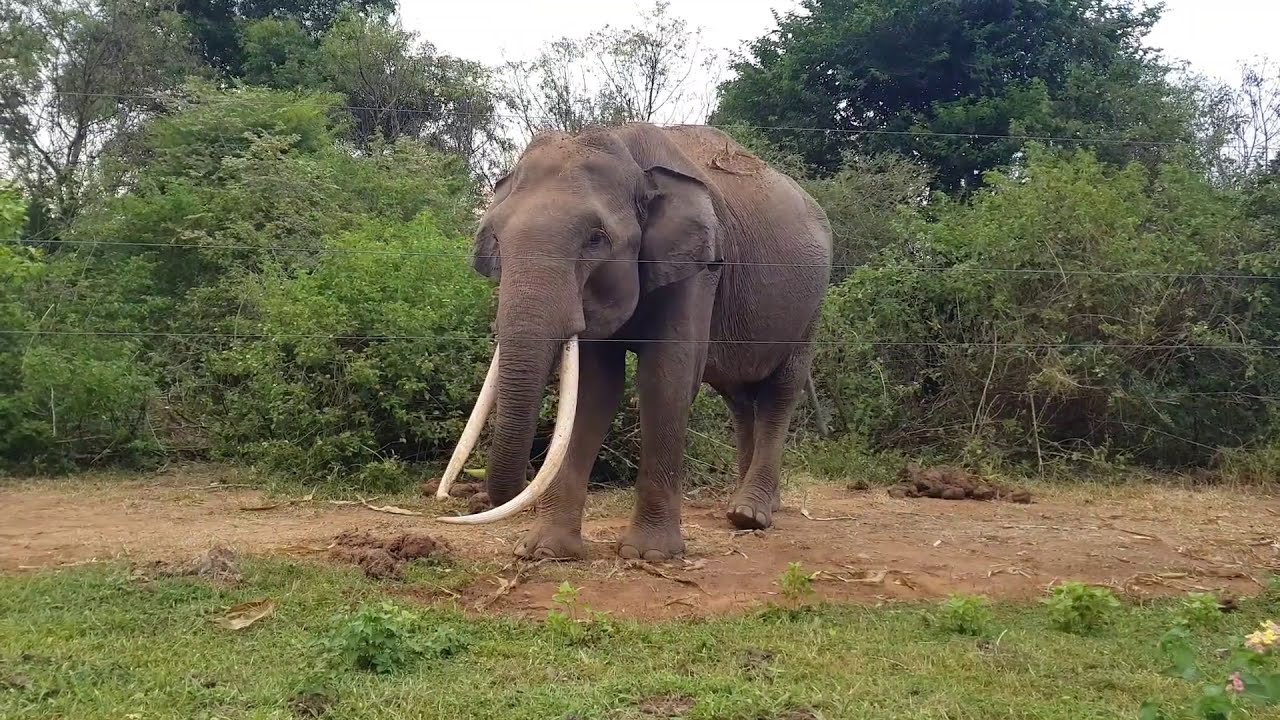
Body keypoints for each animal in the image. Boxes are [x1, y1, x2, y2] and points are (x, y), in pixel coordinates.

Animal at [434, 122, 832, 561]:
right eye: (495, 239)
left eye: (596, 239)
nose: (451, 500)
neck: (632, 156)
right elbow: (596, 388)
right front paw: (547, 551)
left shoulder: (700, 266)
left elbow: (666, 377)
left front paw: (650, 555)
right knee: (740, 399)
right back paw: (749, 506)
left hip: (811, 305)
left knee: (780, 391)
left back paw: (750, 515)